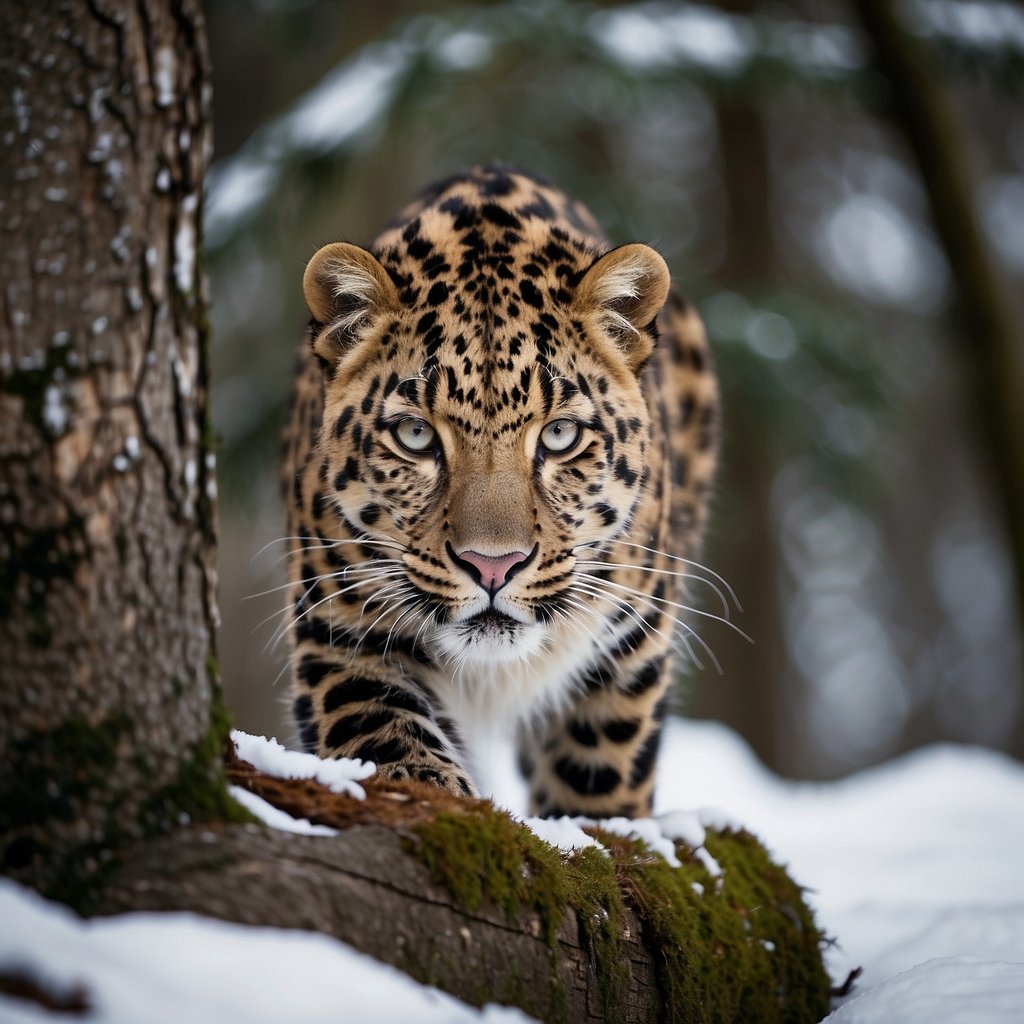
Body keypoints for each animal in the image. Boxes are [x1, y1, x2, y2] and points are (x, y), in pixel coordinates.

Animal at [282, 164, 719, 819]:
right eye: (416, 435)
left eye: (560, 435)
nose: (493, 567)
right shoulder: (338, 629)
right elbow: (386, 735)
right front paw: (434, 801)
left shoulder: (630, 646)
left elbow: (599, 778)